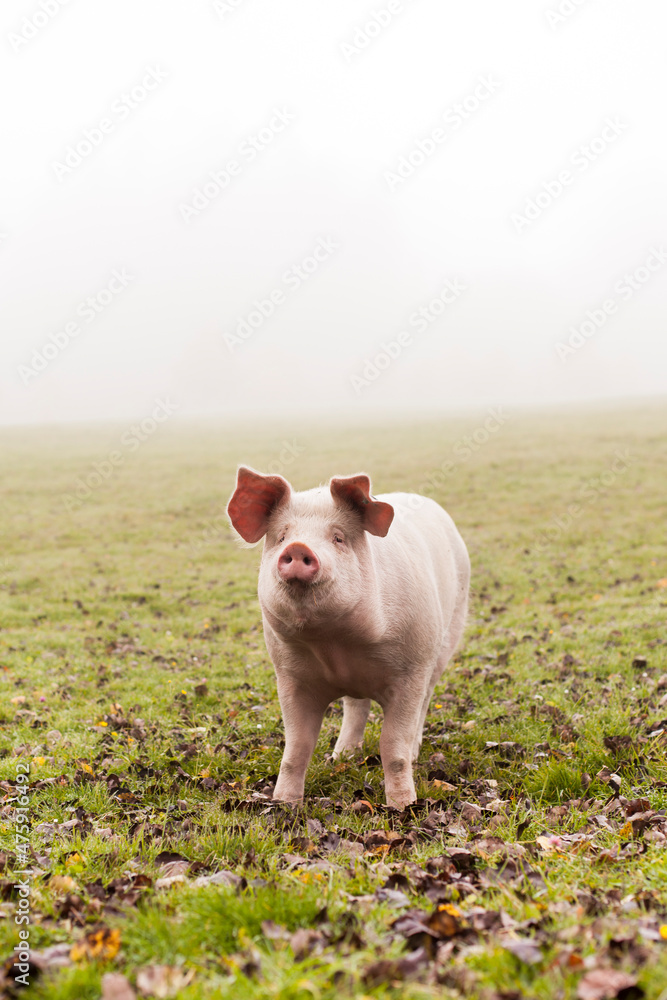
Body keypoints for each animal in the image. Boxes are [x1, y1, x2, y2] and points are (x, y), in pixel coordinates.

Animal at [227, 466, 470, 809]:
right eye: (282, 537)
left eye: (338, 537)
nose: (297, 547)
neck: (336, 646)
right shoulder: (289, 677)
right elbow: (296, 746)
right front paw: (284, 805)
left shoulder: (410, 671)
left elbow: (393, 744)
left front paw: (402, 806)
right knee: (356, 706)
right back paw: (342, 756)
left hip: (445, 641)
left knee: (424, 701)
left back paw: (413, 753)